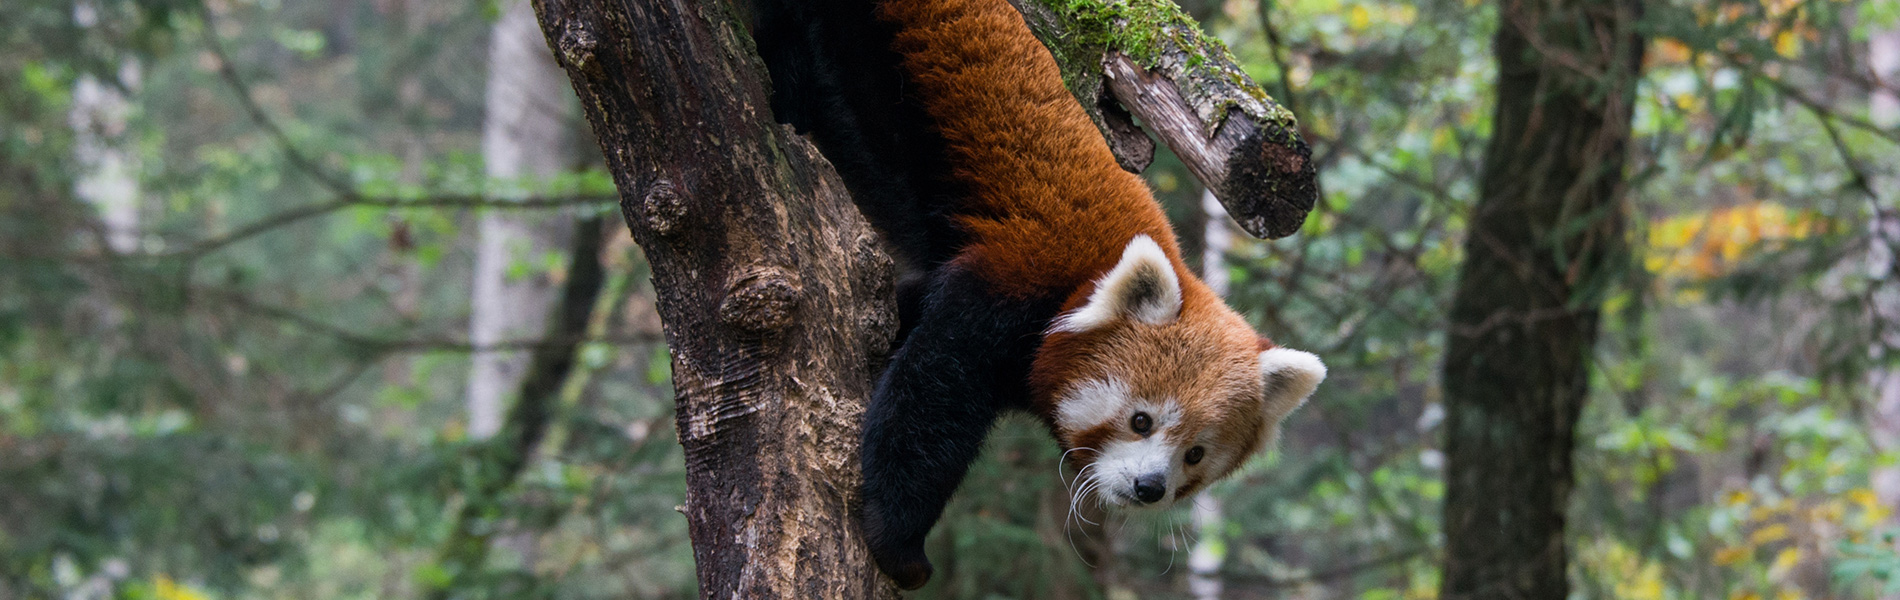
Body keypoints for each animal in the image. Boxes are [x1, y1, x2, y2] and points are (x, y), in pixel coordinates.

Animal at [749, 0, 1326, 589]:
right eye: (1141, 421)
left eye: (1195, 454)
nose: (1149, 488)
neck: (1079, 285)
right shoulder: (1010, 282)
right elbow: (929, 395)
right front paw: (900, 542)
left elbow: (904, 315)